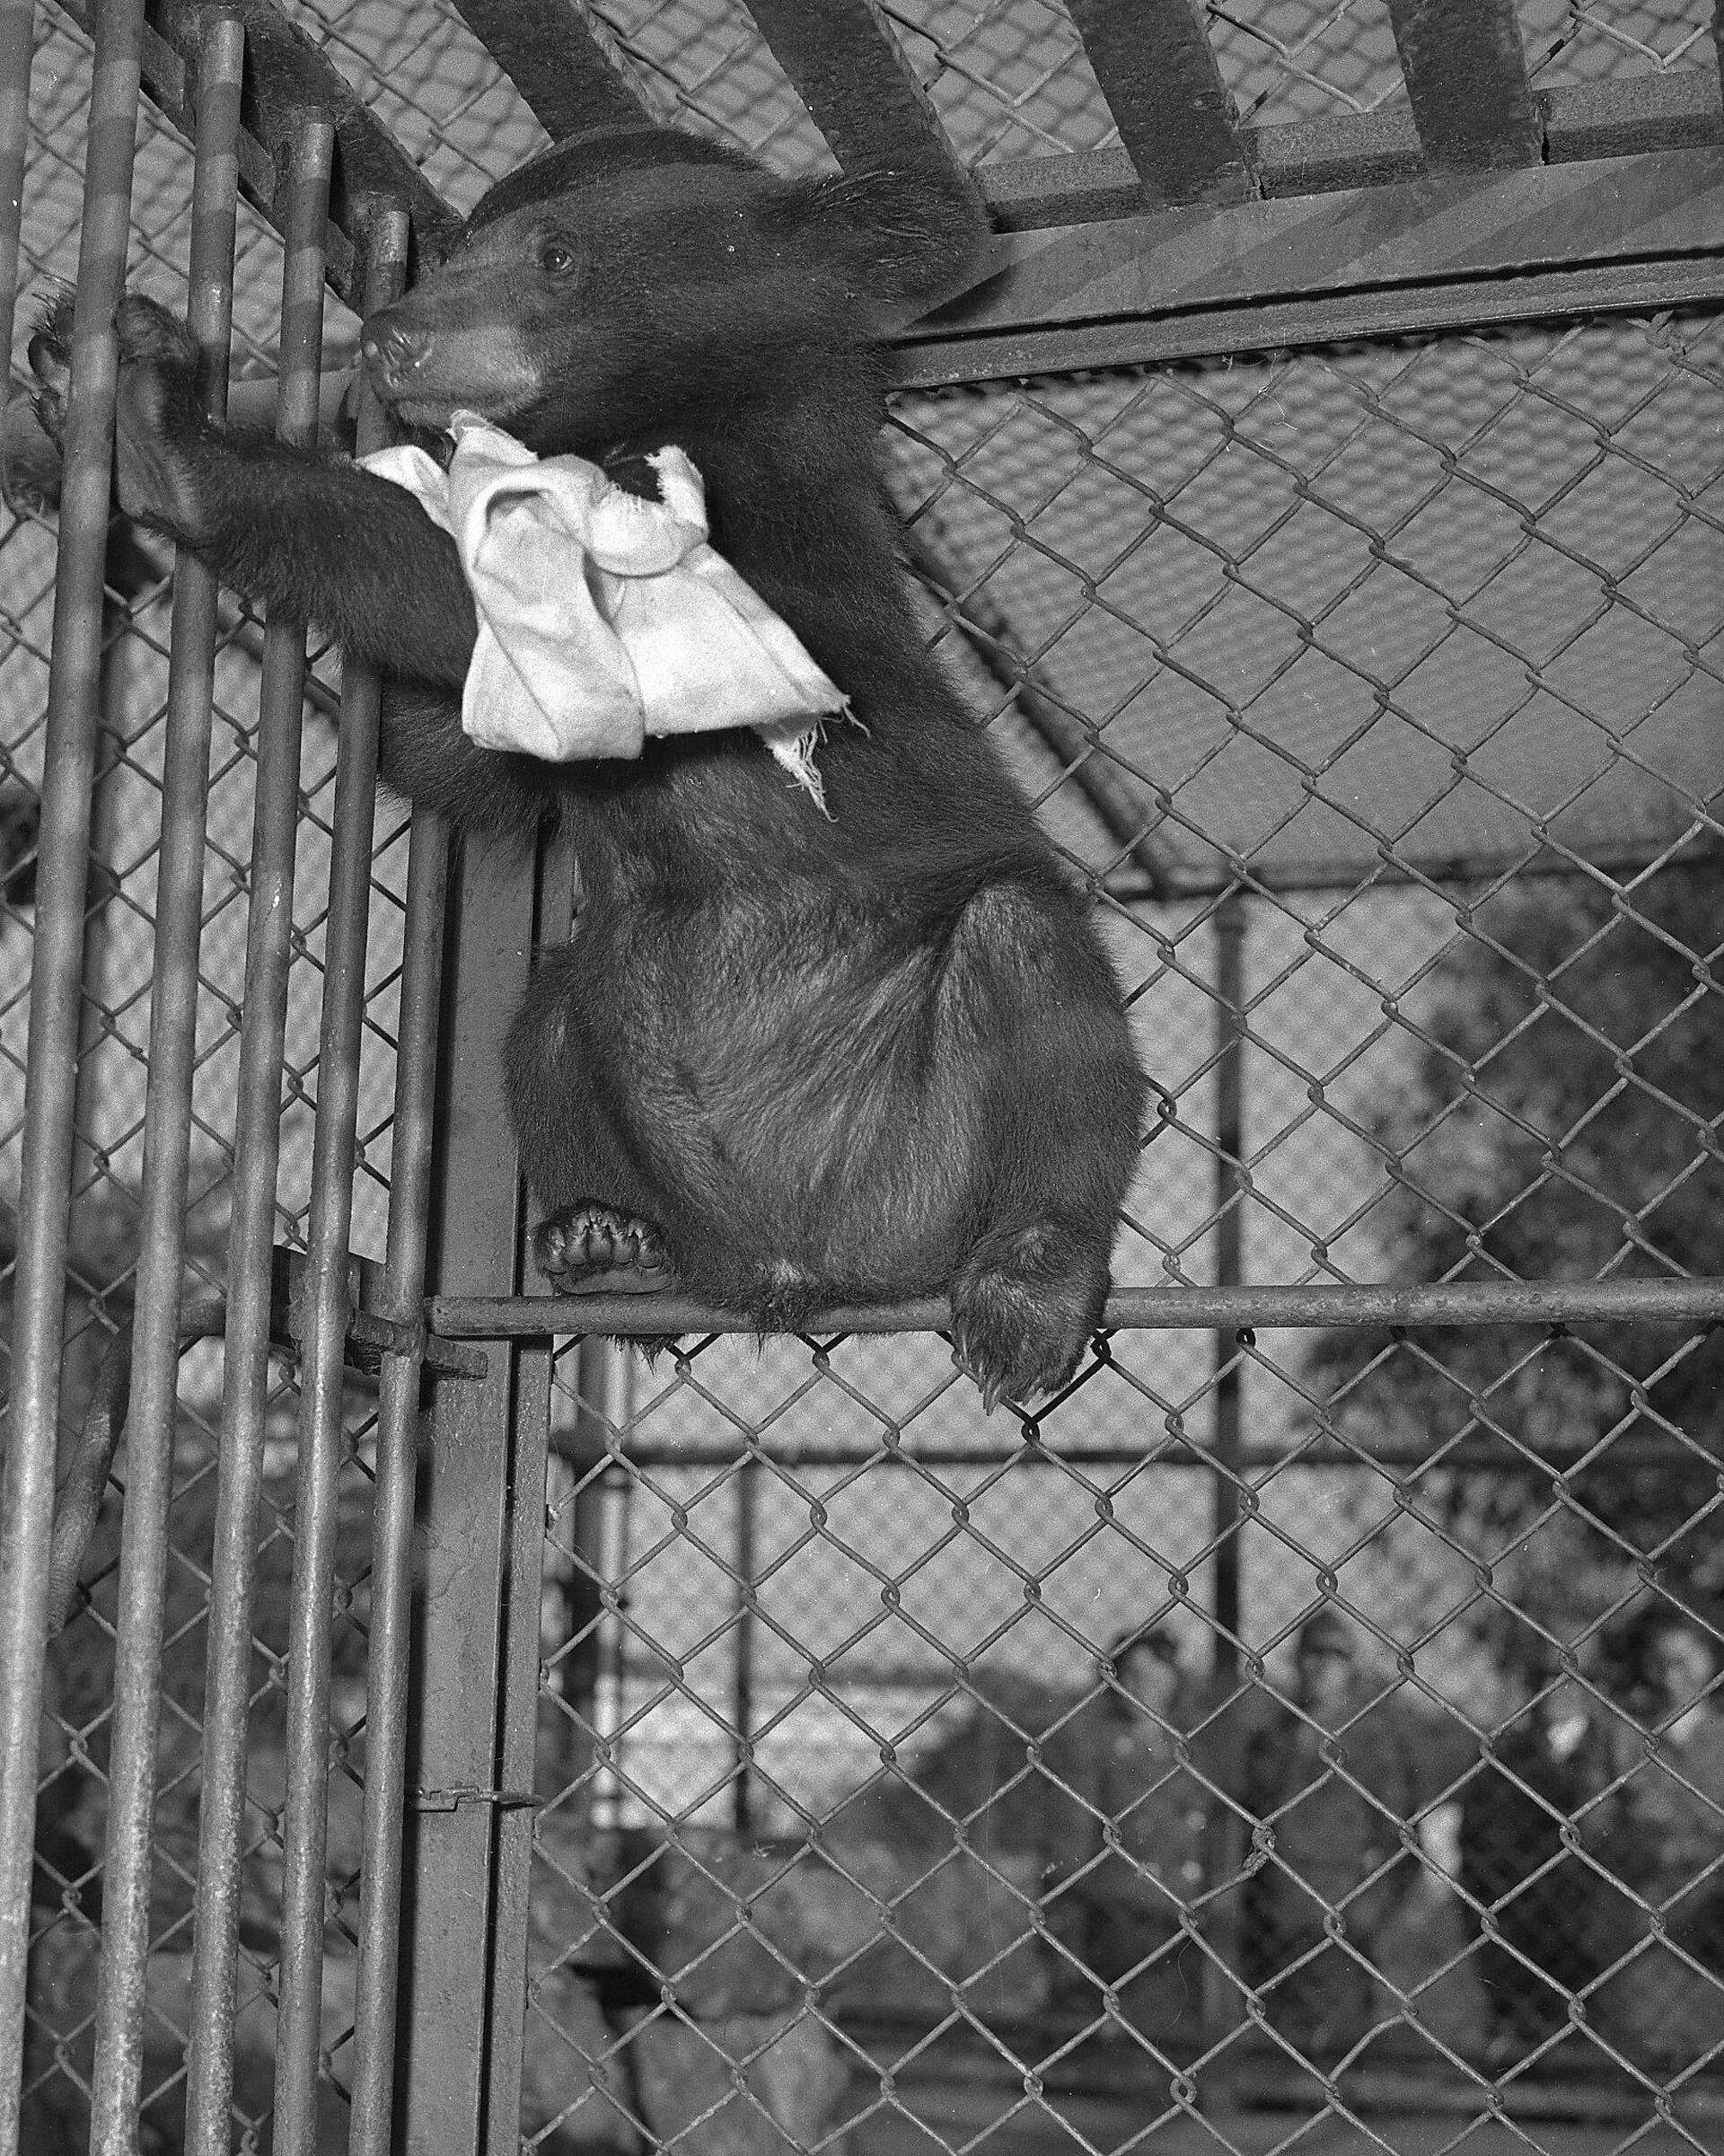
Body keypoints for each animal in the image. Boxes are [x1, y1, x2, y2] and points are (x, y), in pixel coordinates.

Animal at [30, 121, 1146, 1405]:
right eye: (456, 253)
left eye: (554, 254)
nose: (390, 334)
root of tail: (810, 1270)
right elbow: (479, 755)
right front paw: (88, 369)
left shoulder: (761, 538)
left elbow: (554, 604)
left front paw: (156, 426)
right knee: (552, 1015)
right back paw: (607, 1242)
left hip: (943, 1141)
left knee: (1038, 969)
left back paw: (1029, 1285)